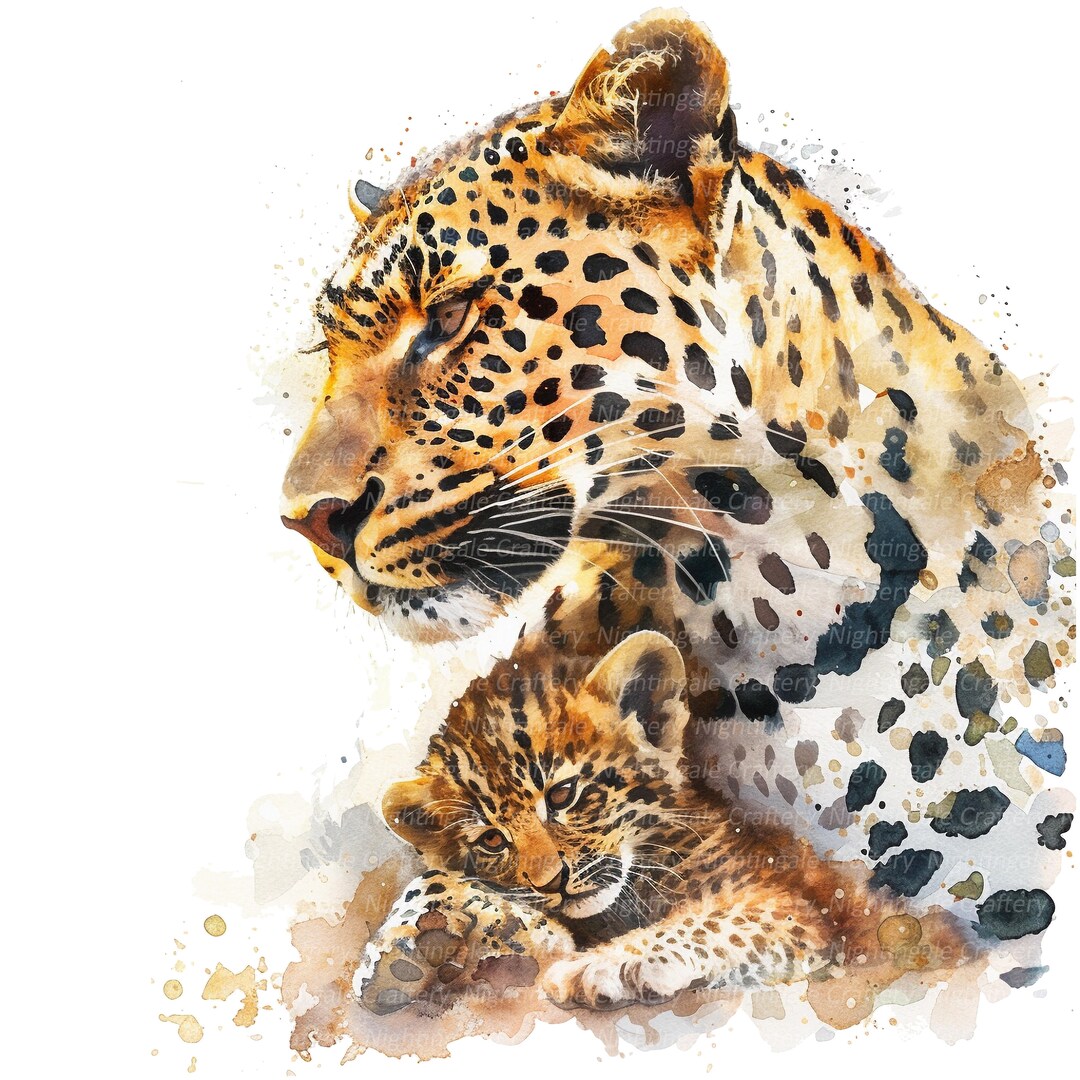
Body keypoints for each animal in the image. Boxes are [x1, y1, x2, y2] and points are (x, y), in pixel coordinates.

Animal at [355, 630, 972, 1014]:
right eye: (490, 840)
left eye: (563, 794)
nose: (551, 883)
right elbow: (438, 882)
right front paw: (400, 953)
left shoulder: (793, 909)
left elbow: (705, 921)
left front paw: (597, 968)